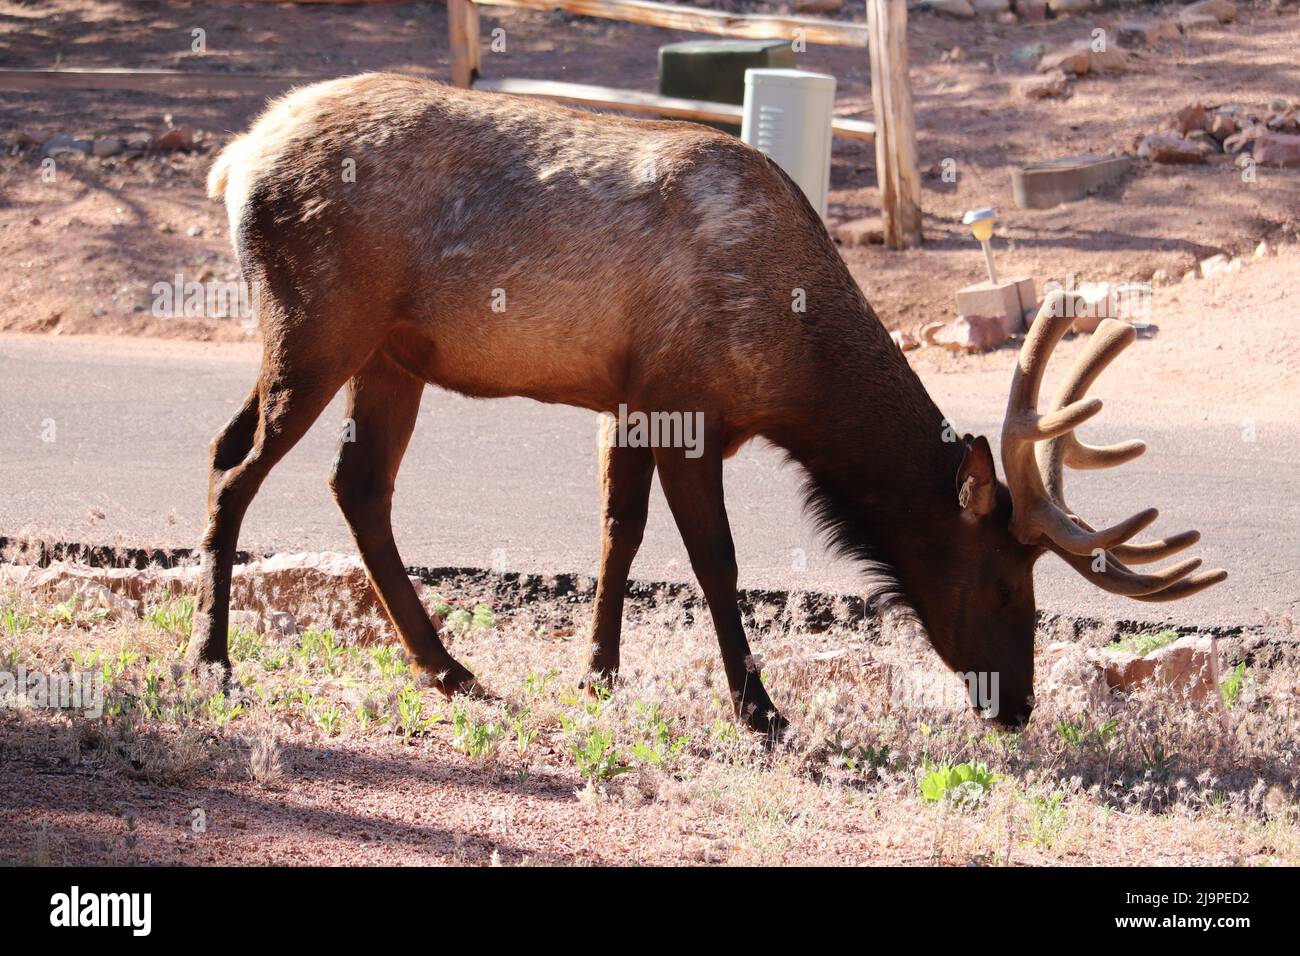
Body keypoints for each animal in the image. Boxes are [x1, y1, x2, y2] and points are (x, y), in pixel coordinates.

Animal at [194, 74, 1225, 735]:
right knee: (236, 465)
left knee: (347, 482)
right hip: (317, 320)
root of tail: (236, 160)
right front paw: (759, 709)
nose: (1017, 707)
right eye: (1007, 583)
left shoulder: (629, 399)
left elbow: (618, 533)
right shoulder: (685, 404)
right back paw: (214, 661)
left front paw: (598, 673)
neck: (789, 372)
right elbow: (715, 560)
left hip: (387, 352)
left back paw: (450, 670)